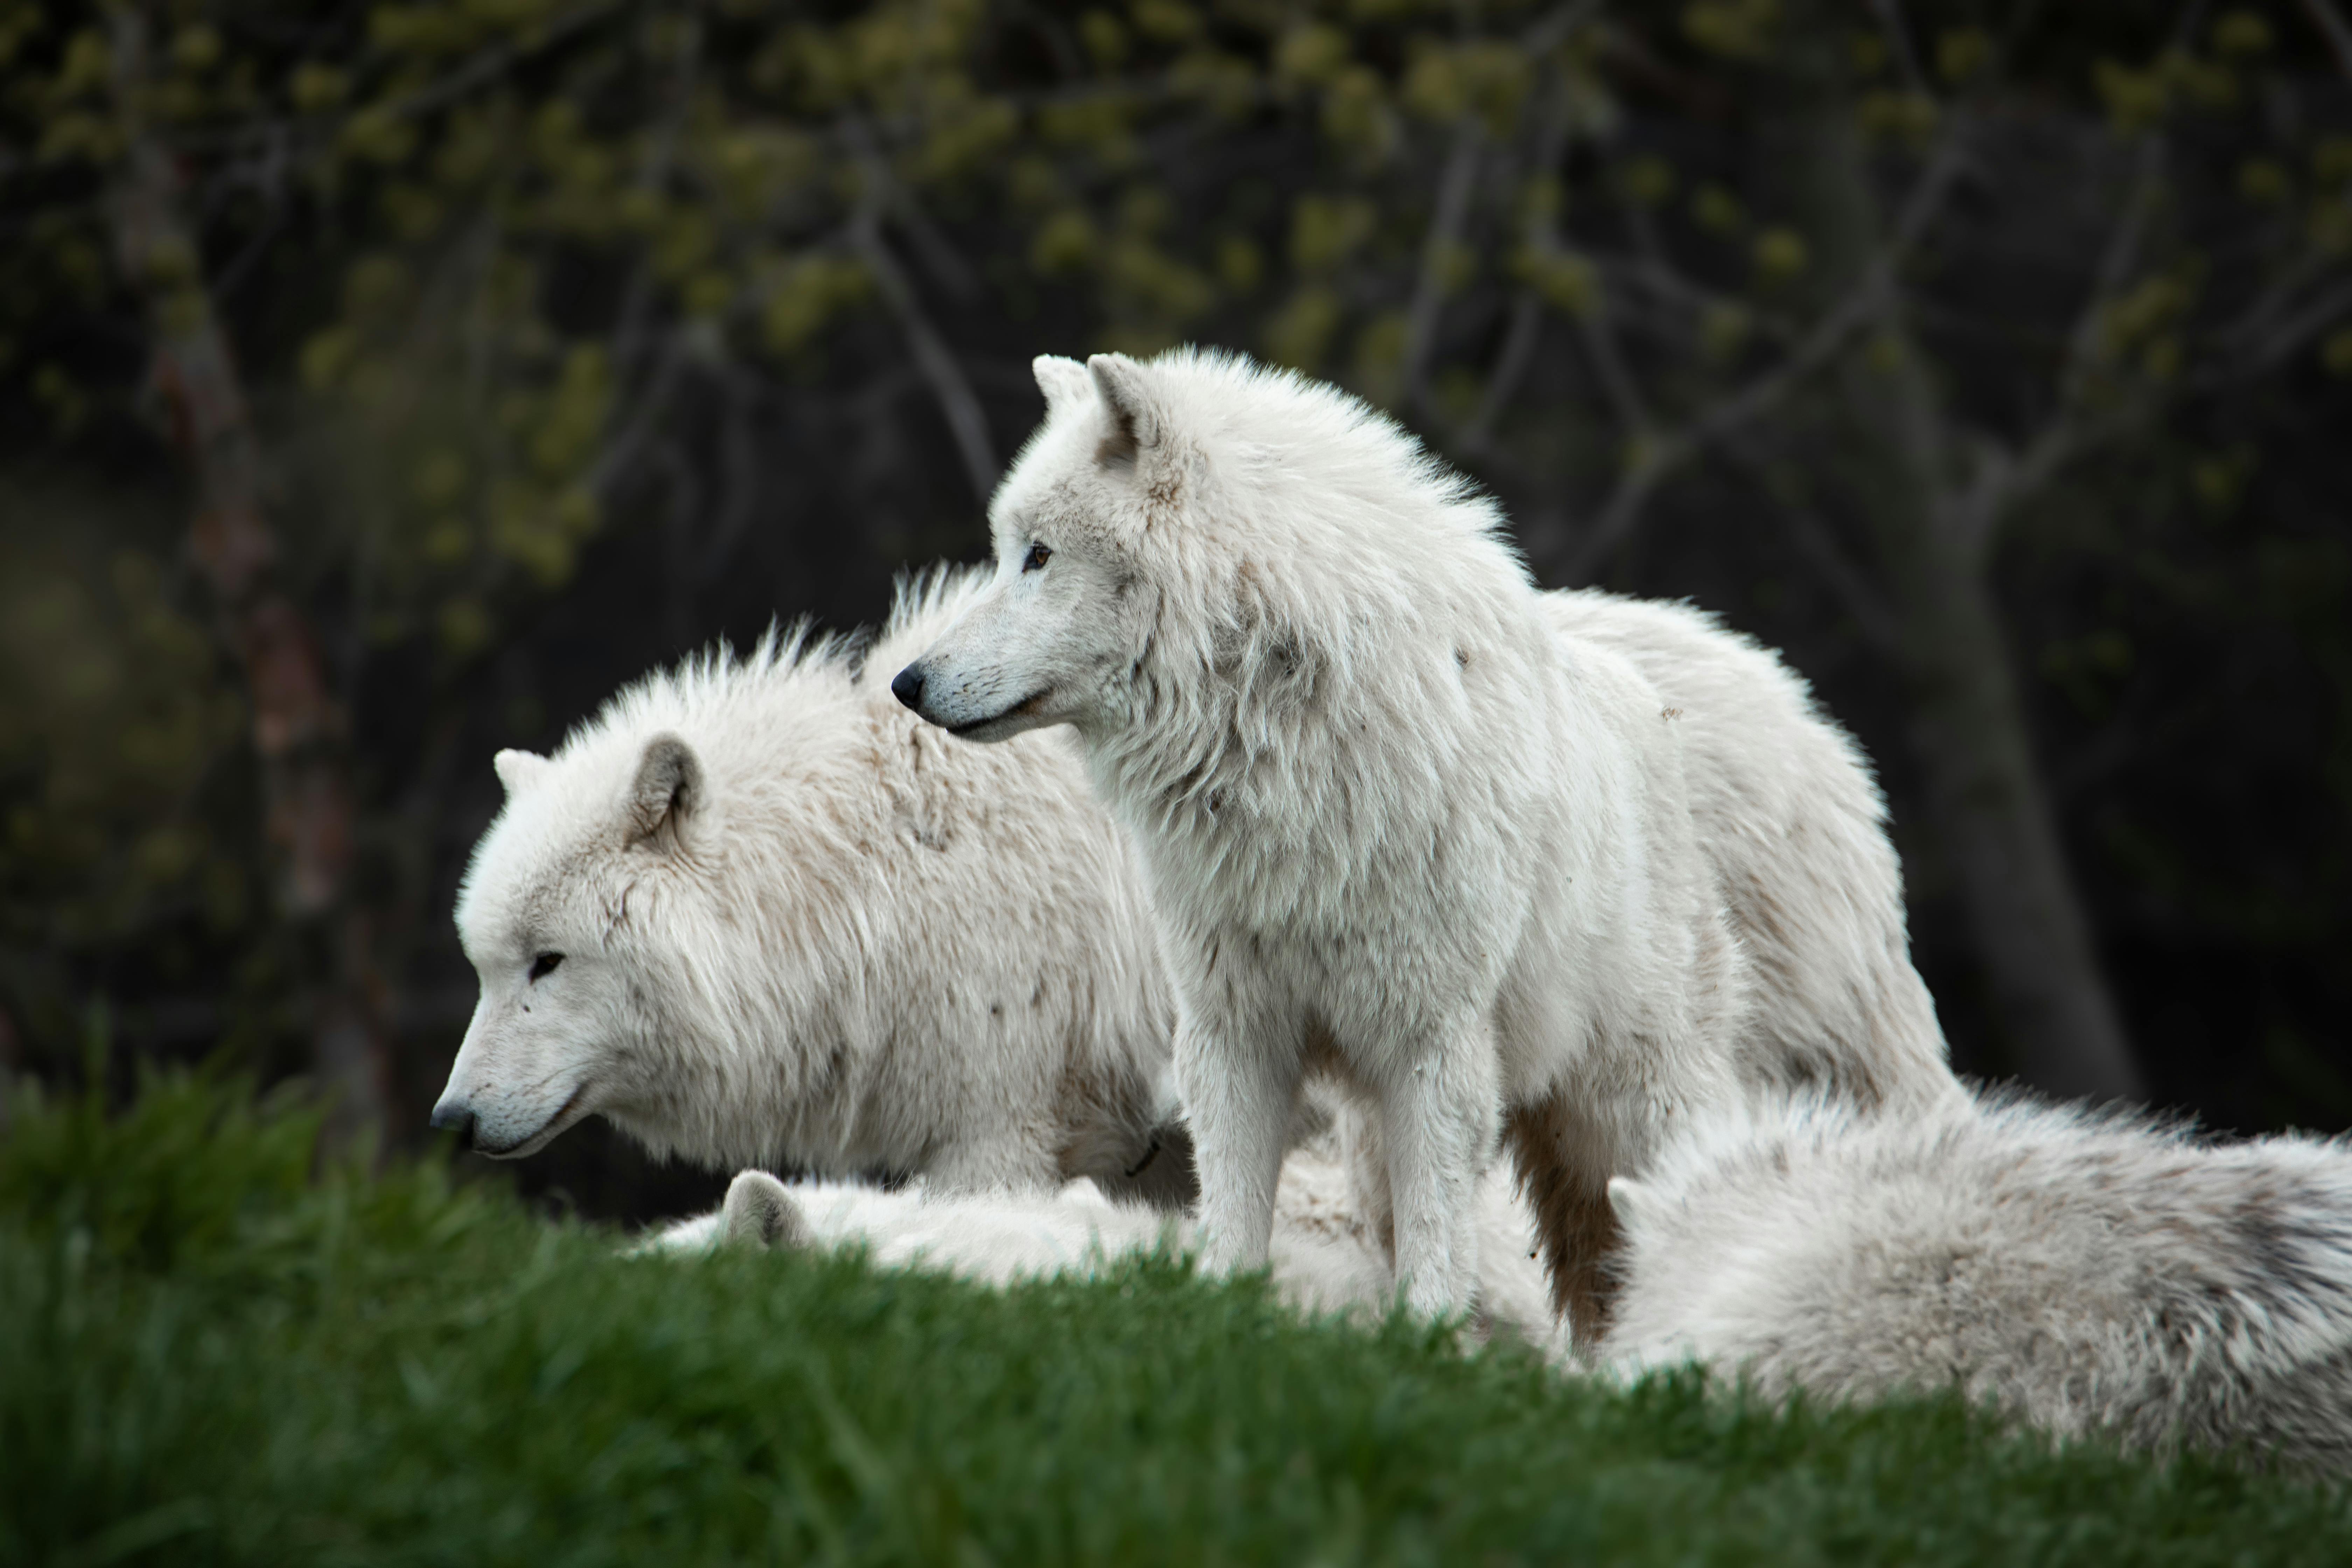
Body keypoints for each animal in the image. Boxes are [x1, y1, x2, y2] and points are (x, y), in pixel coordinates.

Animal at [892, 347, 1959, 1337]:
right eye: (1004, 551)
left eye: (1036, 555)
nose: (908, 681)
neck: (1285, 747)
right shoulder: (1233, 1032)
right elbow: (1233, 1216)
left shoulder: (1431, 1043)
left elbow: (1438, 1244)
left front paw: (1428, 1348)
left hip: (1637, 1097)